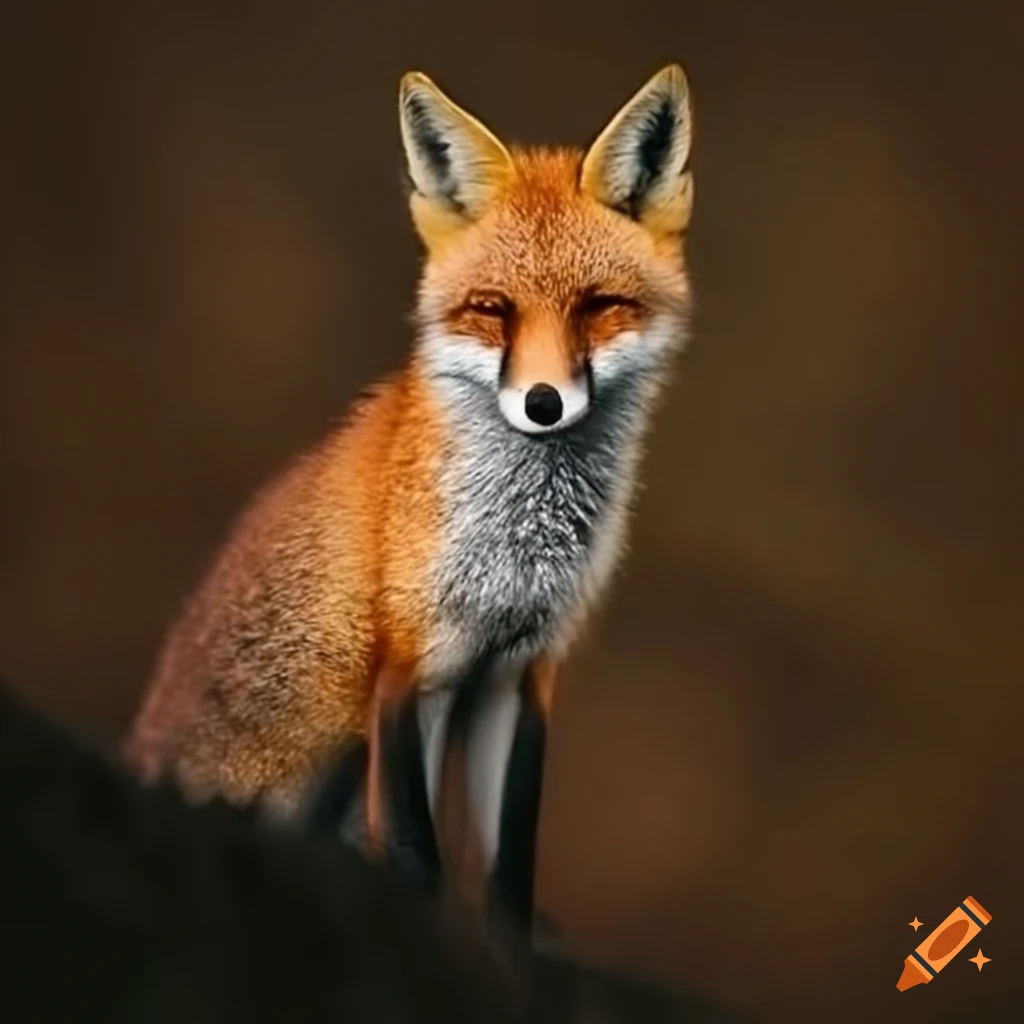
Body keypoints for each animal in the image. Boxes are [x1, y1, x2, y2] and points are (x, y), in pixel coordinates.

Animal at [124, 63, 696, 928]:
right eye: (492, 309)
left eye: (599, 306)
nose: (543, 405)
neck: (516, 548)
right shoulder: (407, 667)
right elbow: (414, 853)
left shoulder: (519, 673)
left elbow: (505, 874)